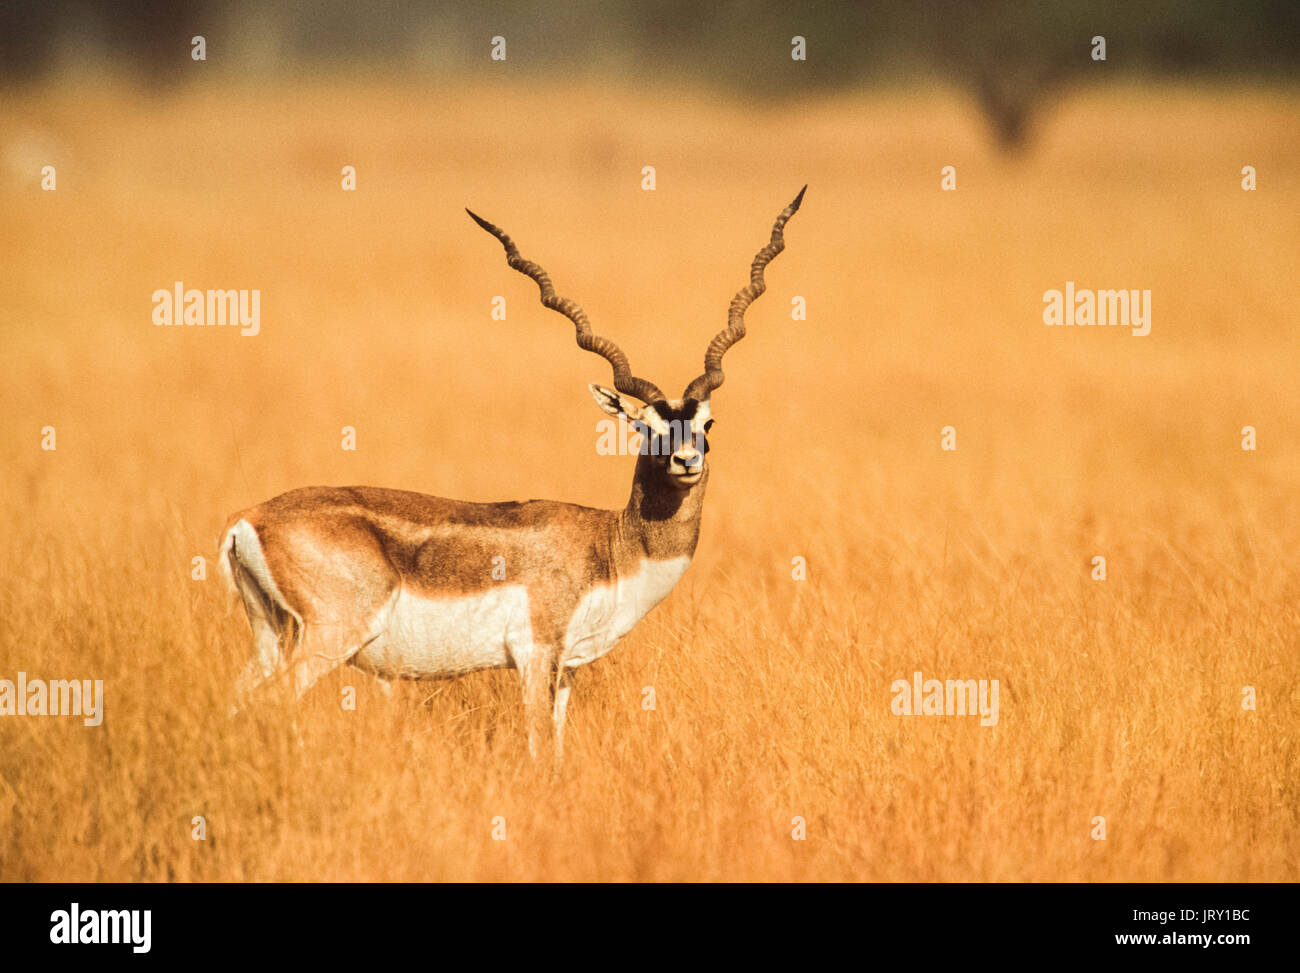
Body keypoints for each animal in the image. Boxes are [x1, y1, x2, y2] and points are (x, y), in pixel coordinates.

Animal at [220, 187, 805, 757]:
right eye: (644, 425)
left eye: (707, 423)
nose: (686, 461)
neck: (608, 548)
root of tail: (249, 519)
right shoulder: (535, 654)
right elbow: (538, 745)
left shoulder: (567, 669)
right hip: (330, 637)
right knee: (274, 703)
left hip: (271, 638)